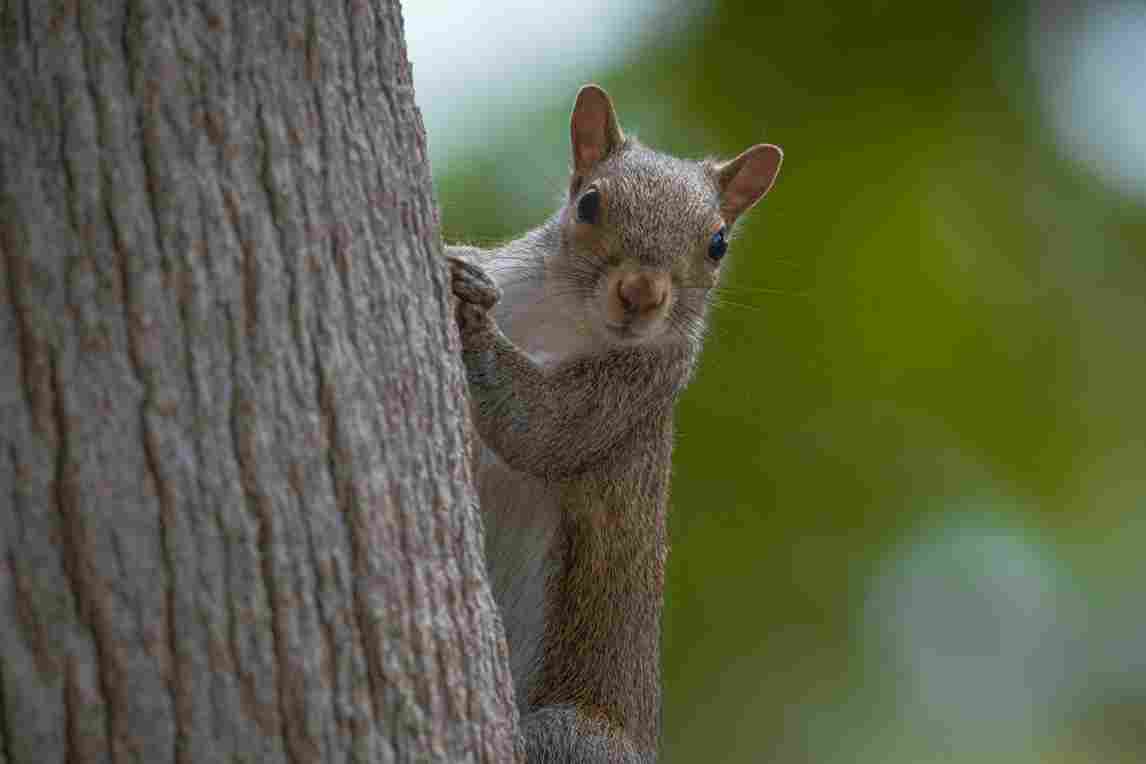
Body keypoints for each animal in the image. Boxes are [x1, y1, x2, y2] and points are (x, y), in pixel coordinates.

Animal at [446, 84, 782, 762]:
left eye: (718, 243)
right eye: (590, 202)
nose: (641, 294)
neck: (566, 319)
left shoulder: (630, 399)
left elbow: (542, 428)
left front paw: (473, 323)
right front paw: (459, 258)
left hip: (575, 735)